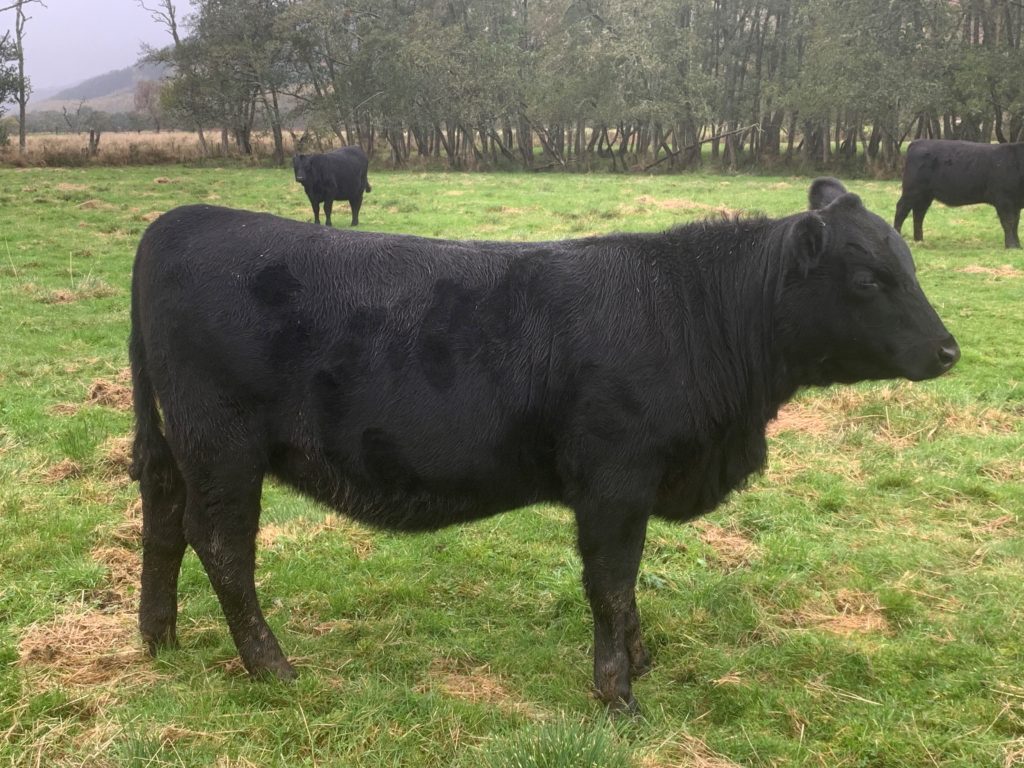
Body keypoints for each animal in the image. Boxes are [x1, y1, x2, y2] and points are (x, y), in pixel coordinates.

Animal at [129, 179, 959, 710]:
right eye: (867, 278)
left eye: (909, 264)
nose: (949, 351)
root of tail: (182, 220)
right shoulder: (614, 477)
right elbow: (610, 583)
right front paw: (618, 692)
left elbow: (625, 585)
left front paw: (640, 660)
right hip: (223, 445)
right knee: (221, 545)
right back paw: (272, 668)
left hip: (177, 447)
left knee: (163, 522)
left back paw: (160, 638)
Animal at [894, 139, 1024, 248]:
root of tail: (918, 142)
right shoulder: (1004, 199)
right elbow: (1009, 222)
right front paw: (1011, 246)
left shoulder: (1016, 203)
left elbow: (1015, 223)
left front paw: (1018, 245)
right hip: (912, 190)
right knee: (902, 209)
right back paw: (898, 235)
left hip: (925, 195)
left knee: (919, 214)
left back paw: (919, 240)